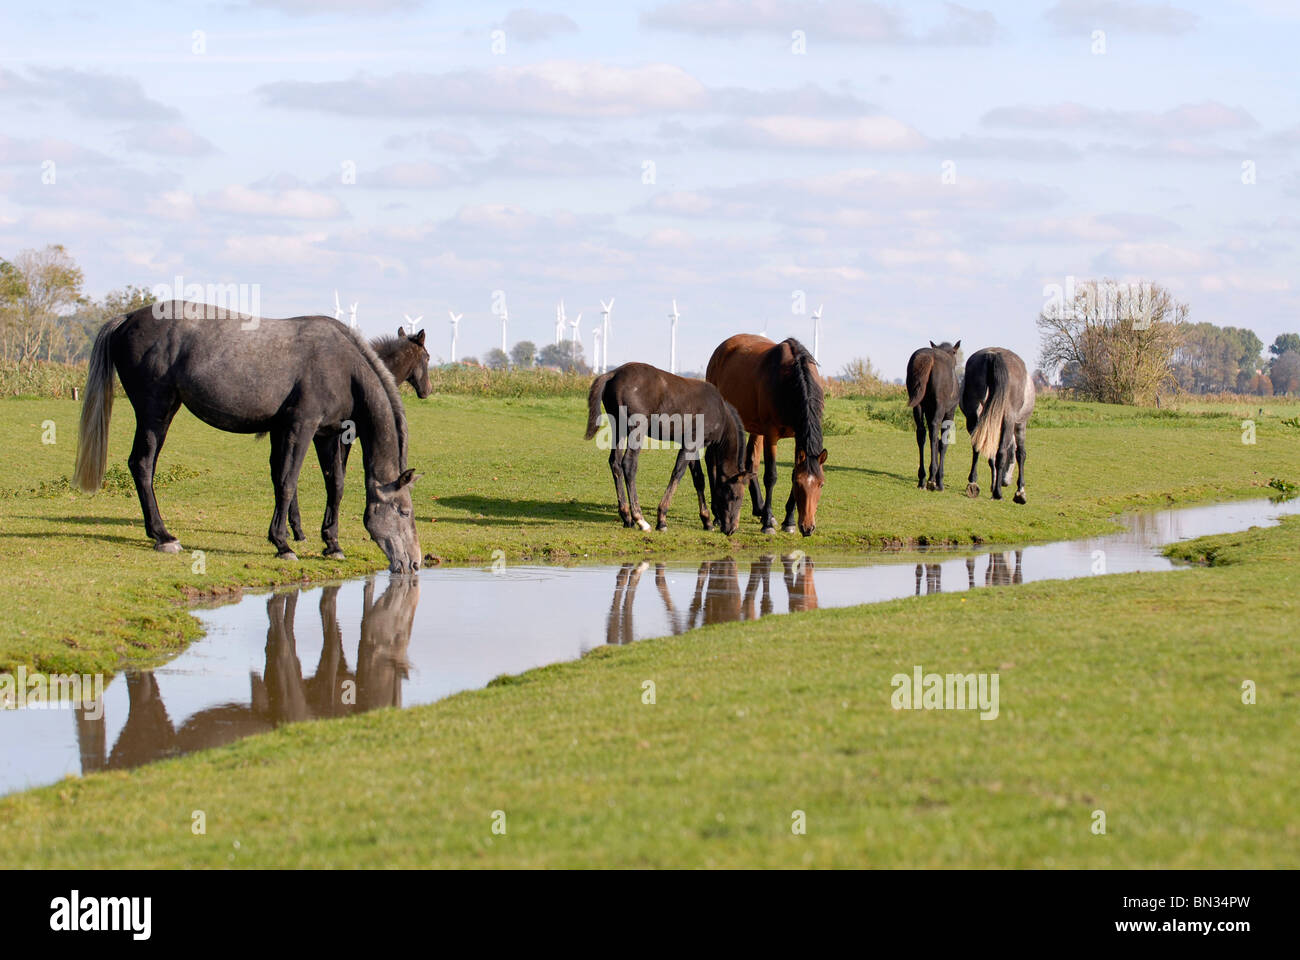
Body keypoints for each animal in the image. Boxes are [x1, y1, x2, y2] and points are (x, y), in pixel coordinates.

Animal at [585, 362, 752, 535]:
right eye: (736, 496)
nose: (731, 529)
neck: (720, 412)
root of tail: (614, 373)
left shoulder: (691, 445)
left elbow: (699, 479)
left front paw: (706, 520)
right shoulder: (691, 444)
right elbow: (677, 473)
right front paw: (662, 519)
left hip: (619, 429)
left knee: (615, 463)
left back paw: (627, 517)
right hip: (637, 430)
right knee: (629, 464)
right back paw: (640, 519)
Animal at [706, 334, 827, 536]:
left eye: (821, 484)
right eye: (800, 485)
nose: (808, 527)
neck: (790, 381)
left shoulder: (797, 436)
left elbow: (793, 470)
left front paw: (788, 521)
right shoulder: (771, 434)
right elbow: (771, 476)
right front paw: (768, 524)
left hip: (754, 428)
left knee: (750, 462)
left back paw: (760, 509)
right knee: (711, 459)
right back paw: (716, 514)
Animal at [905, 340, 961, 490]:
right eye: (955, 352)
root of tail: (928, 357)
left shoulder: (929, 411)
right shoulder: (949, 413)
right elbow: (942, 442)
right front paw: (939, 478)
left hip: (918, 406)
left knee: (921, 433)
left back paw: (922, 478)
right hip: (940, 407)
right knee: (934, 430)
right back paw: (932, 478)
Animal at [959, 346, 1035, 503]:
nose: (1006, 482)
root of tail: (993, 355)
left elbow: (991, 455)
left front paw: (993, 484)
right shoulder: (1020, 424)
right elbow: (1020, 453)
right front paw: (1020, 491)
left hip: (974, 415)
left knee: (977, 446)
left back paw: (973, 483)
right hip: (1009, 419)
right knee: (1001, 453)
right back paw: (998, 493)